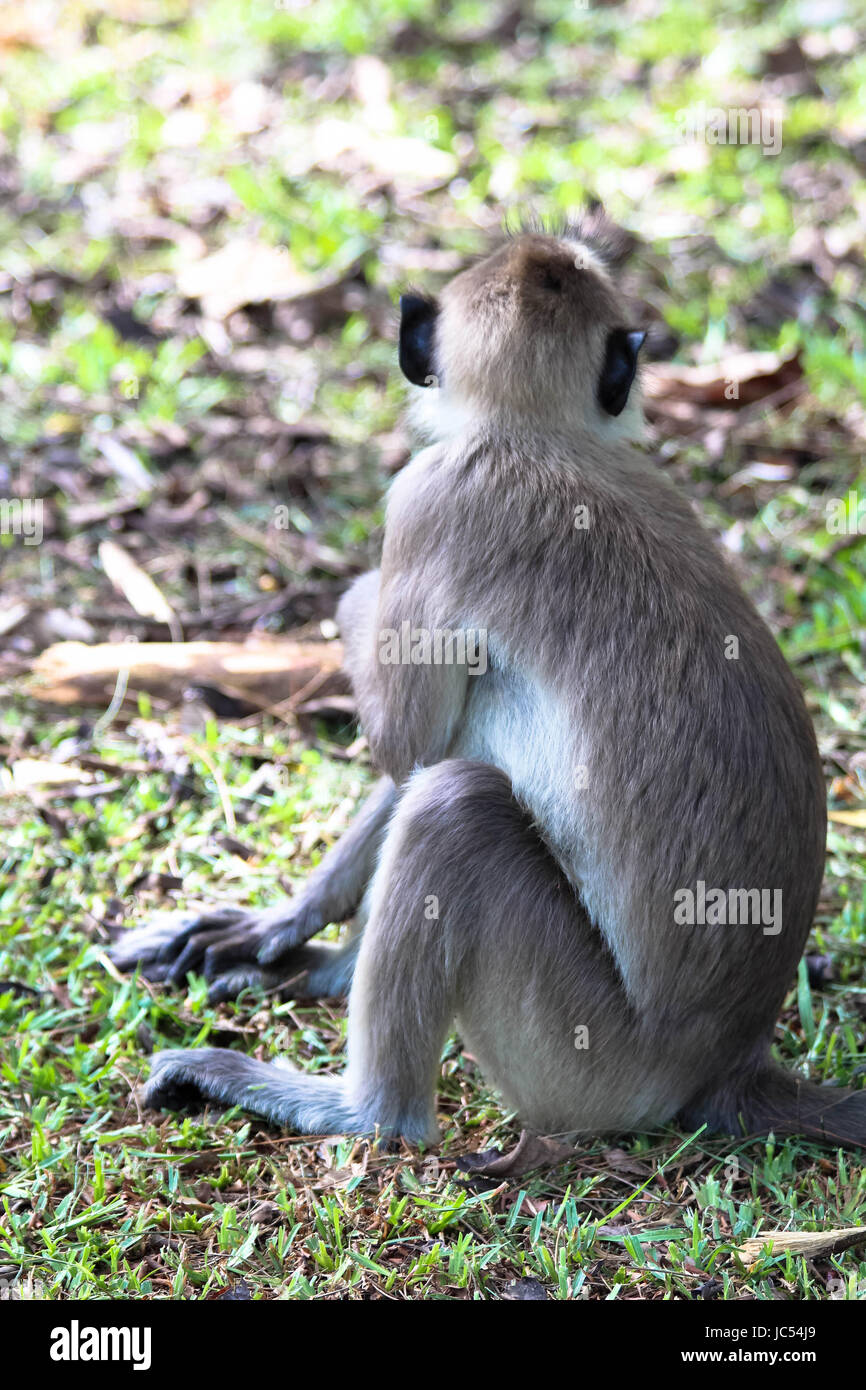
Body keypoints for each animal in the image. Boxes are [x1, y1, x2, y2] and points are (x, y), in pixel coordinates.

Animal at [110, 217, 866, 1151]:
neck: (539, 439)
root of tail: (730, 1064)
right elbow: (414, 750)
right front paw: (279, 926)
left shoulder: (428, 497)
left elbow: (406, 741)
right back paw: (323, 971)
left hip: (586, 1059)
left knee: (455, 802)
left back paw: (362, 1109)